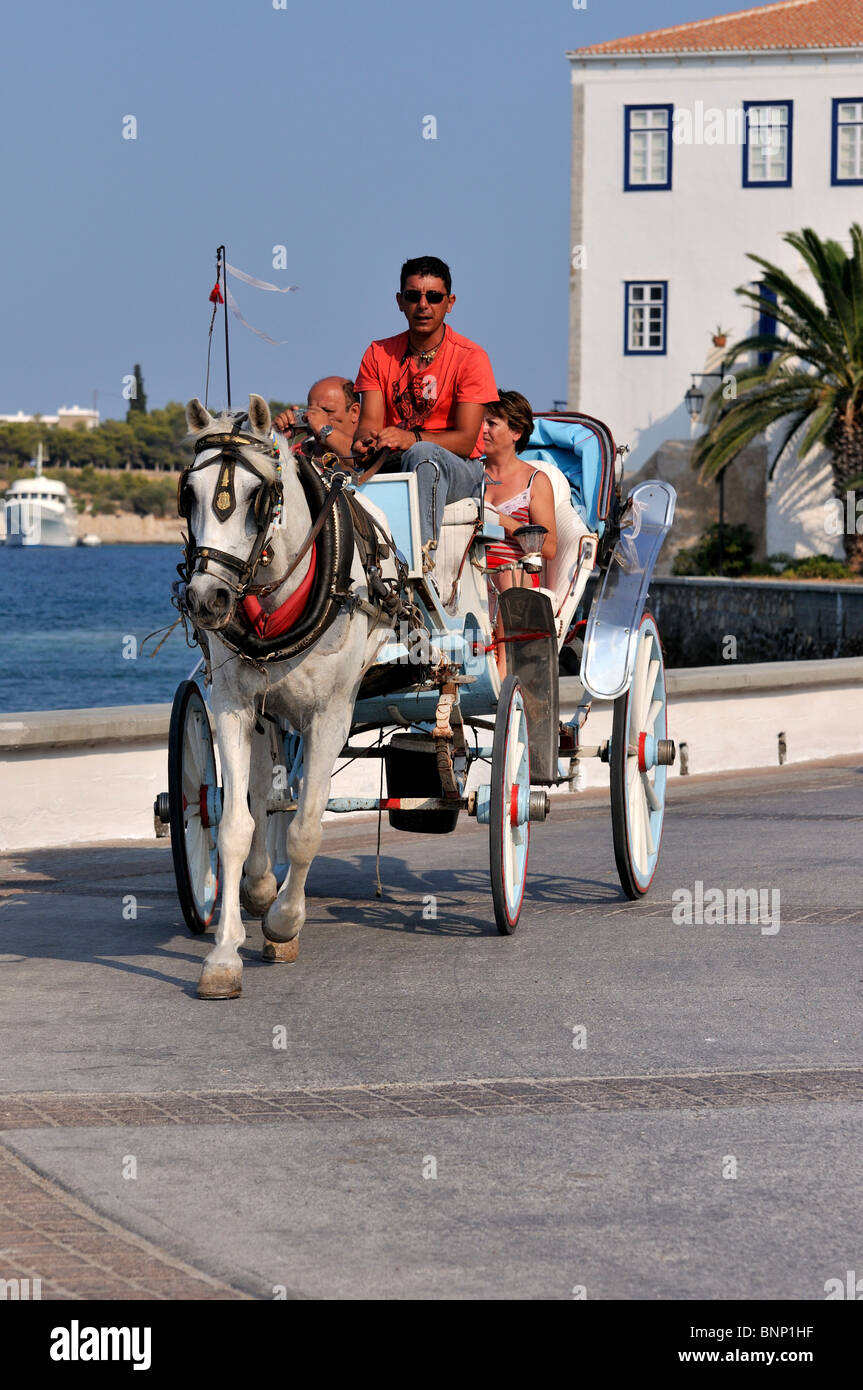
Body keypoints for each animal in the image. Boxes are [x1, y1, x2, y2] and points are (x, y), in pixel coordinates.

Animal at [180, 393, 394, 999]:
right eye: (189, 493)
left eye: (259, 496)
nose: (206, 599)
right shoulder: (233, 703)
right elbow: (235, 823)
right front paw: (224, 954)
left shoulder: (331, 715)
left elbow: (305, 829)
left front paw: (283, 923)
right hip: (267, 712)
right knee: (261, 789)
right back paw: (256, 884)